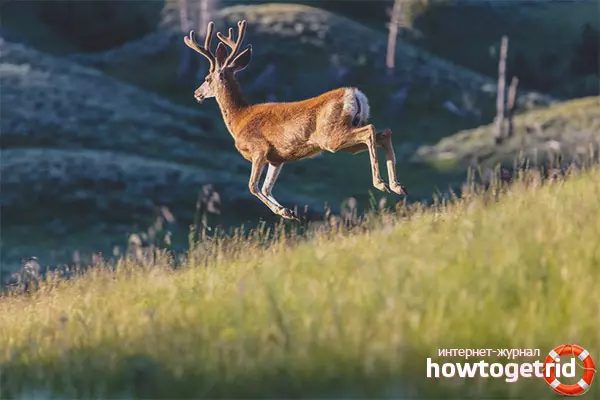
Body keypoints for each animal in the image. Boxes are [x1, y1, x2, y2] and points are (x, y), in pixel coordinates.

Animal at [183, 20, 408, 220]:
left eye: (207, 78)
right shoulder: (277, 158)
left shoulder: (259, 148)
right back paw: (397, 186)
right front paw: (288, 212)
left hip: (331, 136)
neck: (240, 118)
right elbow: (267, 187)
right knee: (383, 134)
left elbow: (253, 186)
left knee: (370, 131)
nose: (196, 93)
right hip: (347, 138)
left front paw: (282, 211)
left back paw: (381, 184)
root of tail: (354, 94)